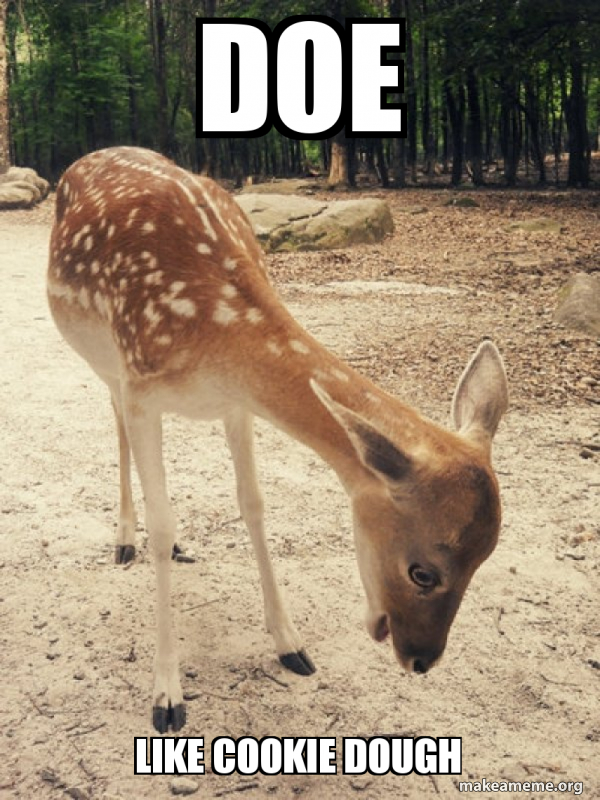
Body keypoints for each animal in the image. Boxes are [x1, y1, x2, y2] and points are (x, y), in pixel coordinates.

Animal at [47, 146, 508, 734]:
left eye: (485, 559)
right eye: (422, 571)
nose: (421, 659)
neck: (213, 333)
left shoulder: (237, 404)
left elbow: (254, 504)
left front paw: (291, 645)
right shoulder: (140, 388)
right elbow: (163, 518)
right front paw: (167, 695)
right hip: (104, 362)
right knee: (116, 425)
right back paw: (125, 539)